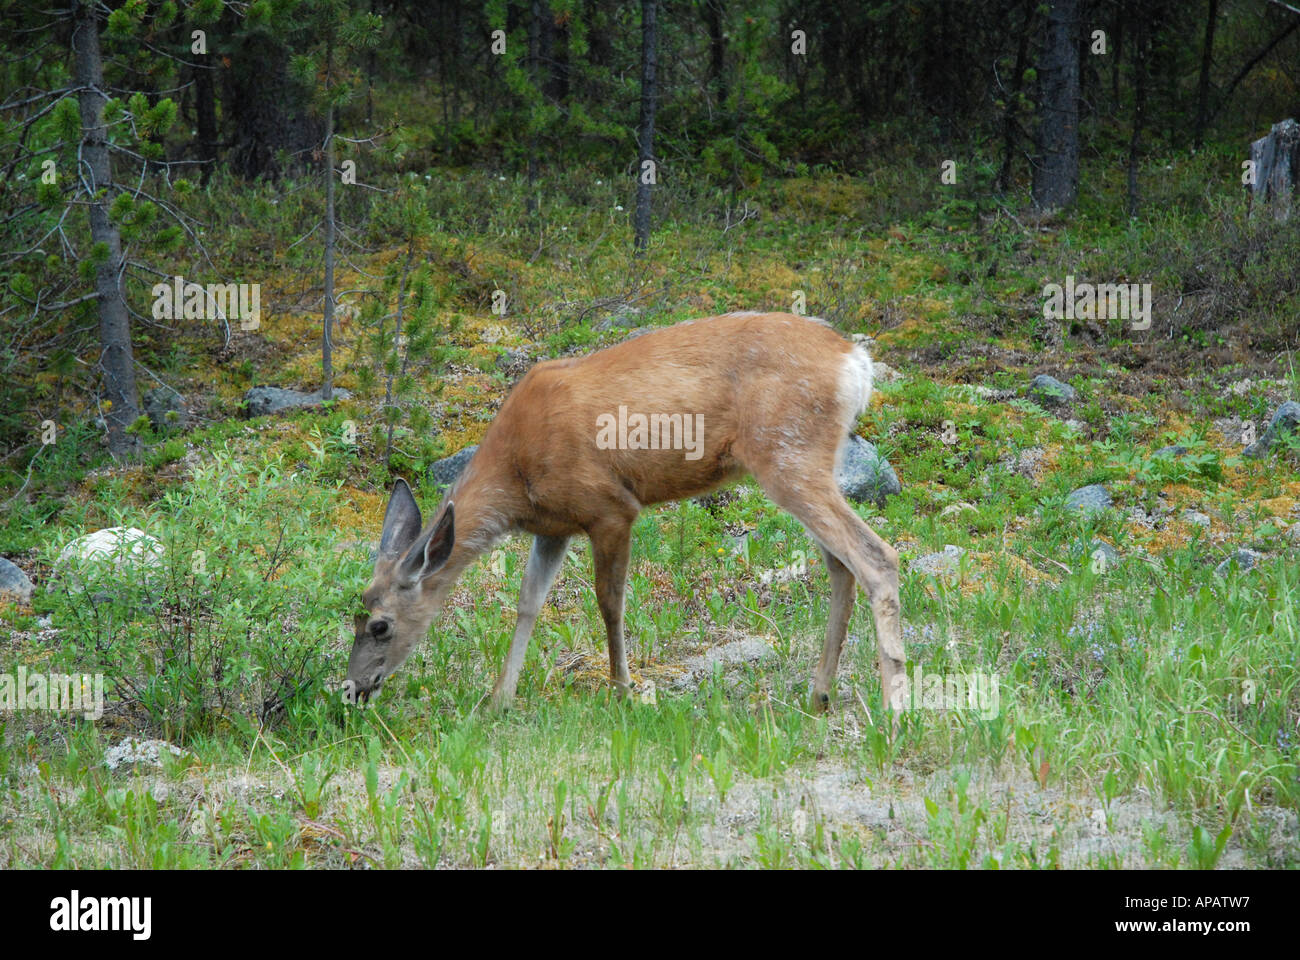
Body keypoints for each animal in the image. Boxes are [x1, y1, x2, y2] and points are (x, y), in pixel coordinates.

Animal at [344, 311, 907, 715]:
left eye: (381, 625)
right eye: (357, 612)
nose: (352, 689)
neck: (515, 474)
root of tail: (855, 361)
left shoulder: (610, 507)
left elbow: (609, 602)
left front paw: (621, 688)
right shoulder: (554, 526)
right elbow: (528, 601)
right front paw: (499, 699)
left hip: (788, 454)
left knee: (876, 555)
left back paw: (895, 705)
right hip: (806, 462)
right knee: (841, 564)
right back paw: (820, 694)